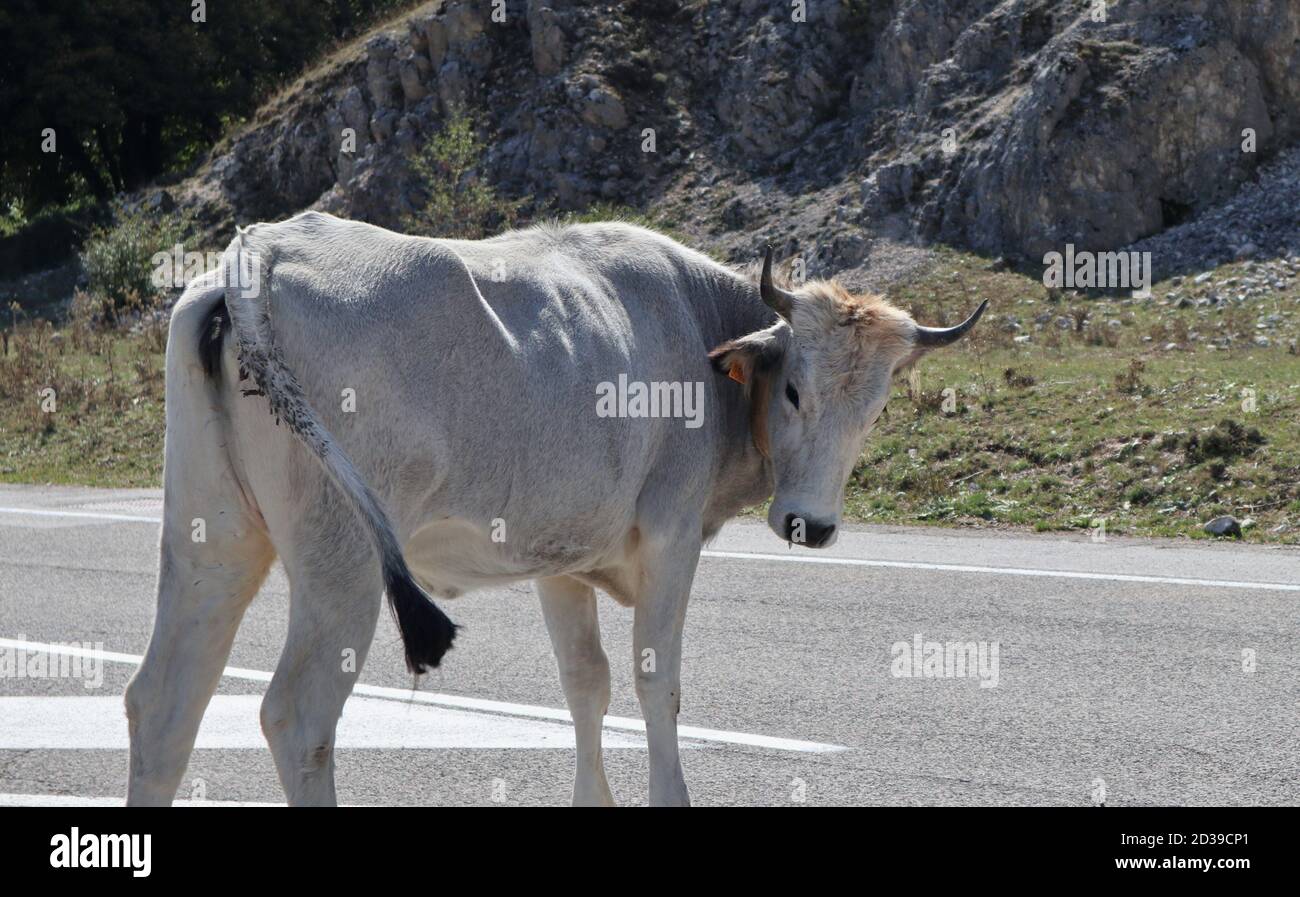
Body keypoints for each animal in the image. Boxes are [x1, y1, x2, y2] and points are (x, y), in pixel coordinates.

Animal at [123, 211, 985, 806]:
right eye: (796, 389)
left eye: (876, 409)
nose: (812, 523)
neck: (696, 329)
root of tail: (261, 249)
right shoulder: (671, 536)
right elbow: (656, 681)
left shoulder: (560, 555)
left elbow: (585, 683)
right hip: (343, 562)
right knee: (297, 716)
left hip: (211, 541)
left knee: (164, 701)